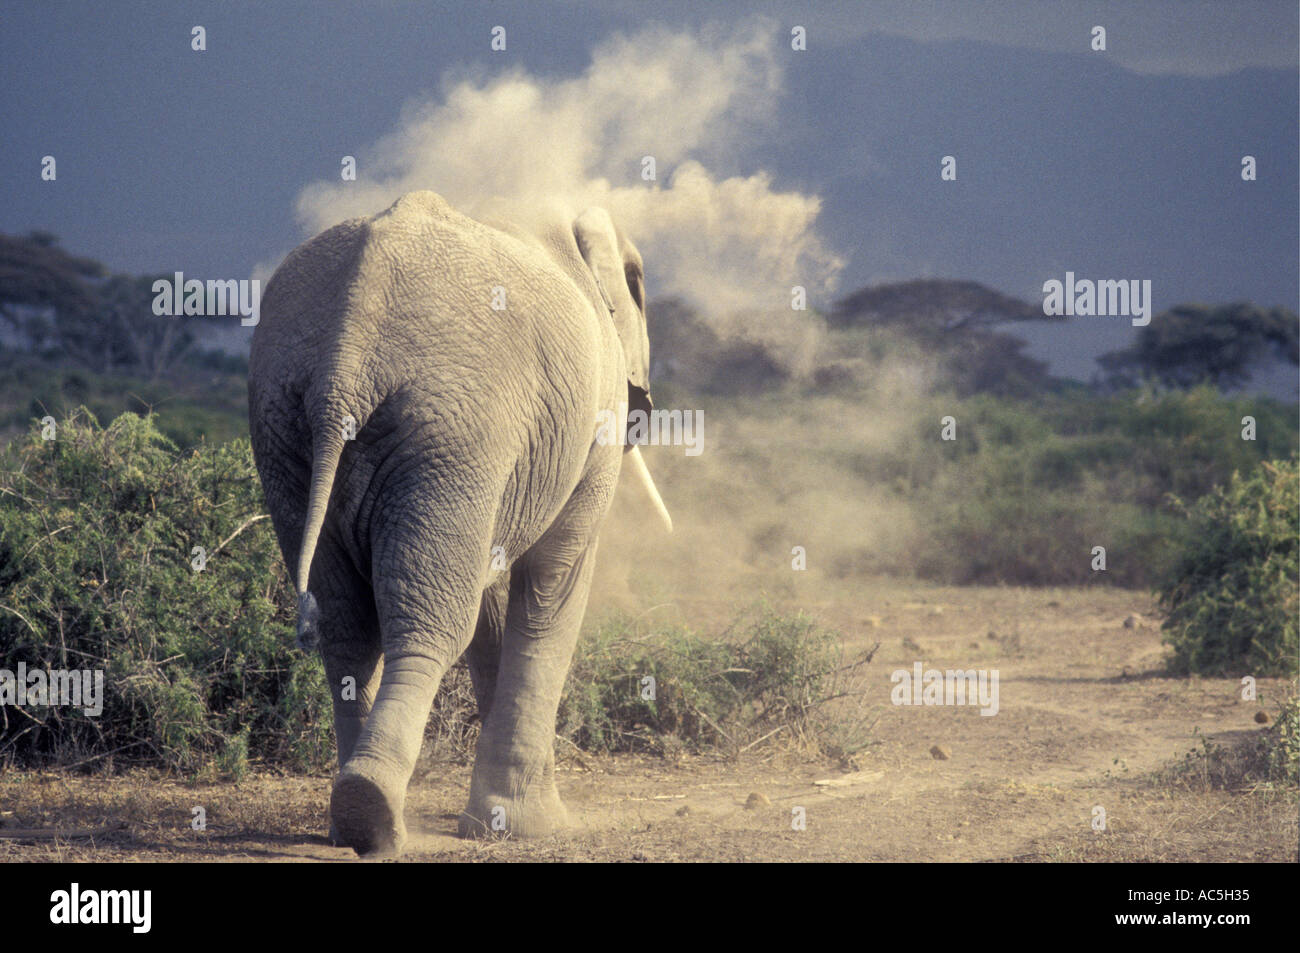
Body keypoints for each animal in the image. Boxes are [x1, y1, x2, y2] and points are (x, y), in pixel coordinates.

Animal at [248, 190, 671, 855]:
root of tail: (347, 351)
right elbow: (553, 578)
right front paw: (531, 828)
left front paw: (499, 821)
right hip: (453, 432)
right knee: (430, 622)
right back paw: (375, 818)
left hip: (286, 425)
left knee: (346, 626)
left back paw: (353, 821)